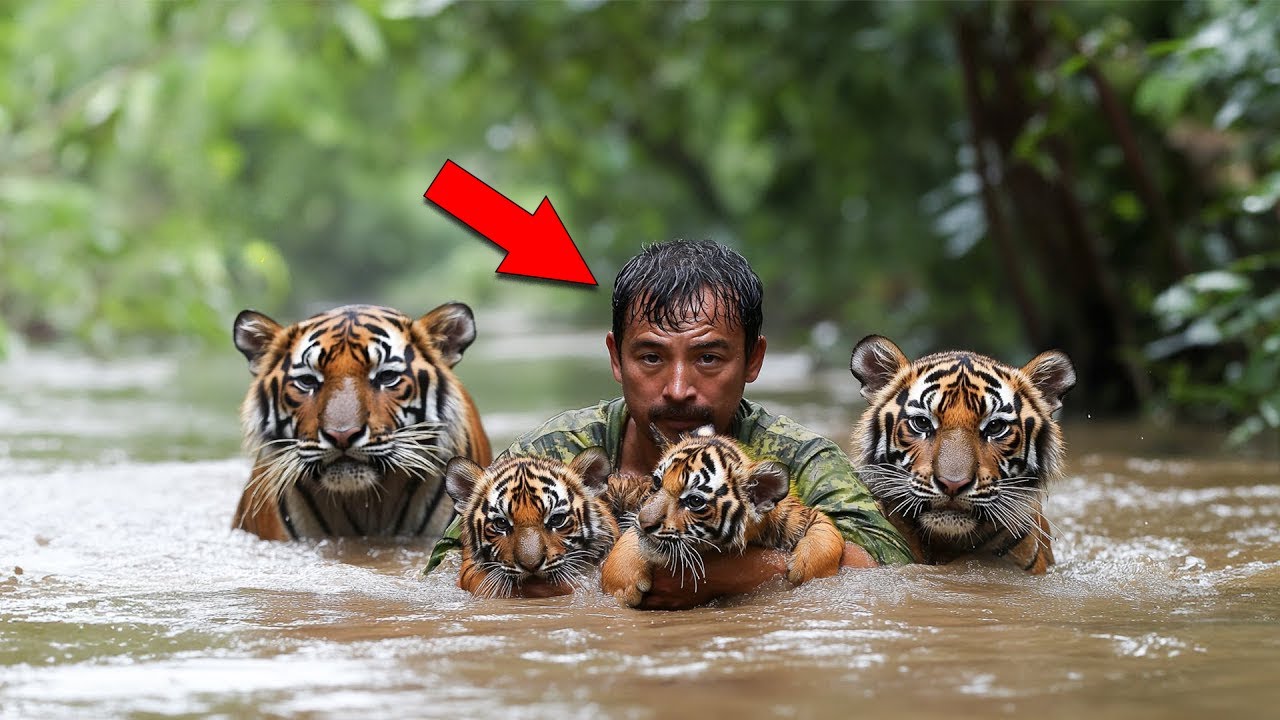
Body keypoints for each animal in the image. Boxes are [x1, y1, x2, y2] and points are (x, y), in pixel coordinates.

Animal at [601, 426, 845, 608]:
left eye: (694, 501)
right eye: (657, 482)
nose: (645, 523)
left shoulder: (802, 516)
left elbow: (827, 532)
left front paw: (808, 573)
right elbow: (631, 538)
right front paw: (621, 584)